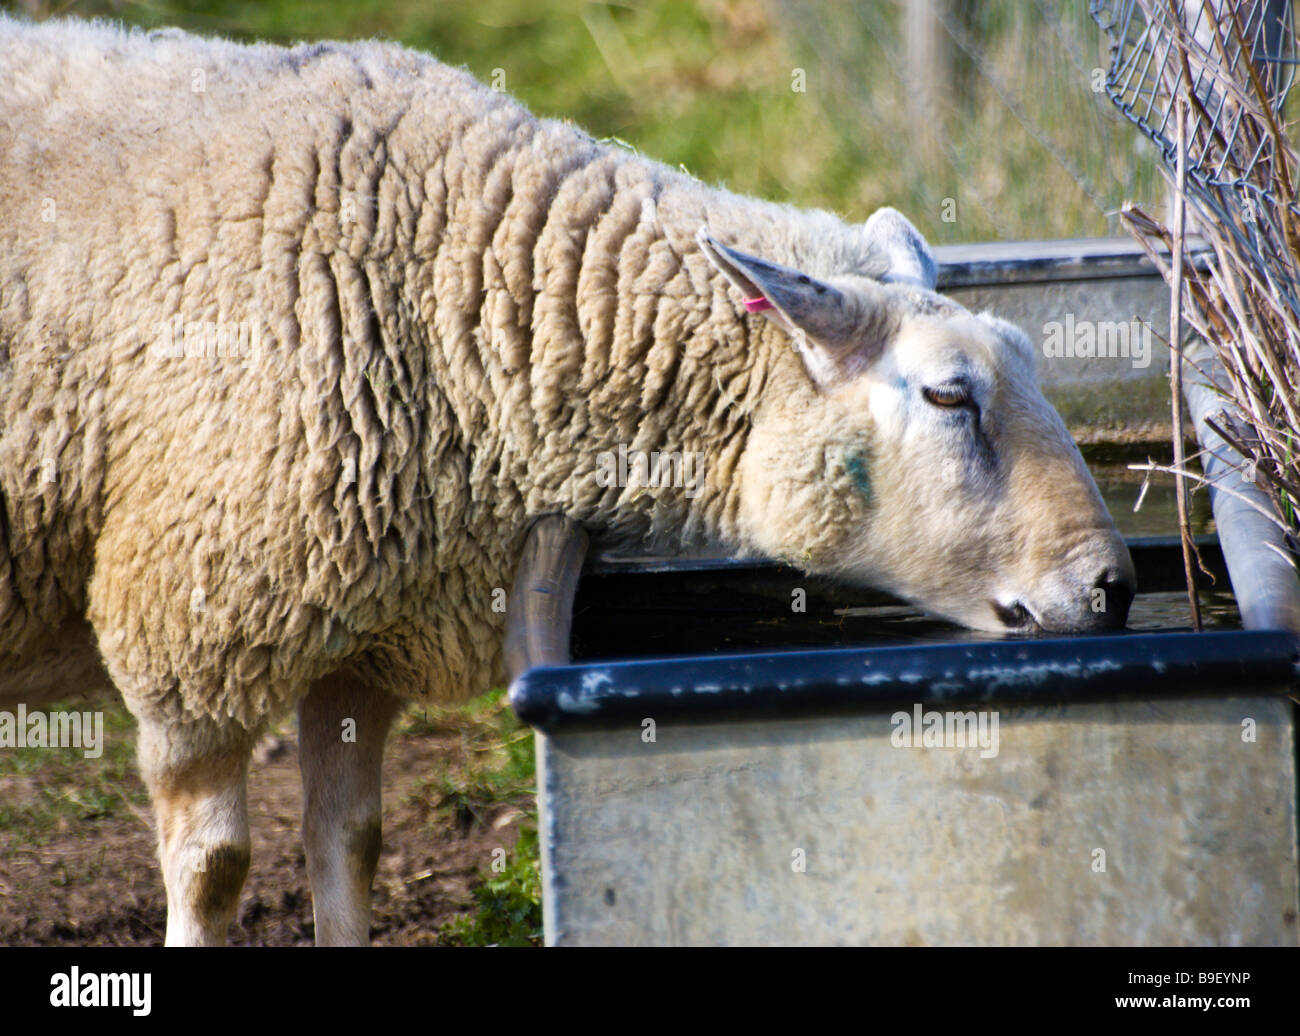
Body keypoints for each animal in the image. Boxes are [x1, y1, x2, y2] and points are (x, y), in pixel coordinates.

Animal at [0, 15, 1134, 945]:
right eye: (949, 397)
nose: (1113, 588)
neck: (449, 279)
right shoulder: (191, 624)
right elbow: (214, 869)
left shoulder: (365, 628)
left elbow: (349, 843)